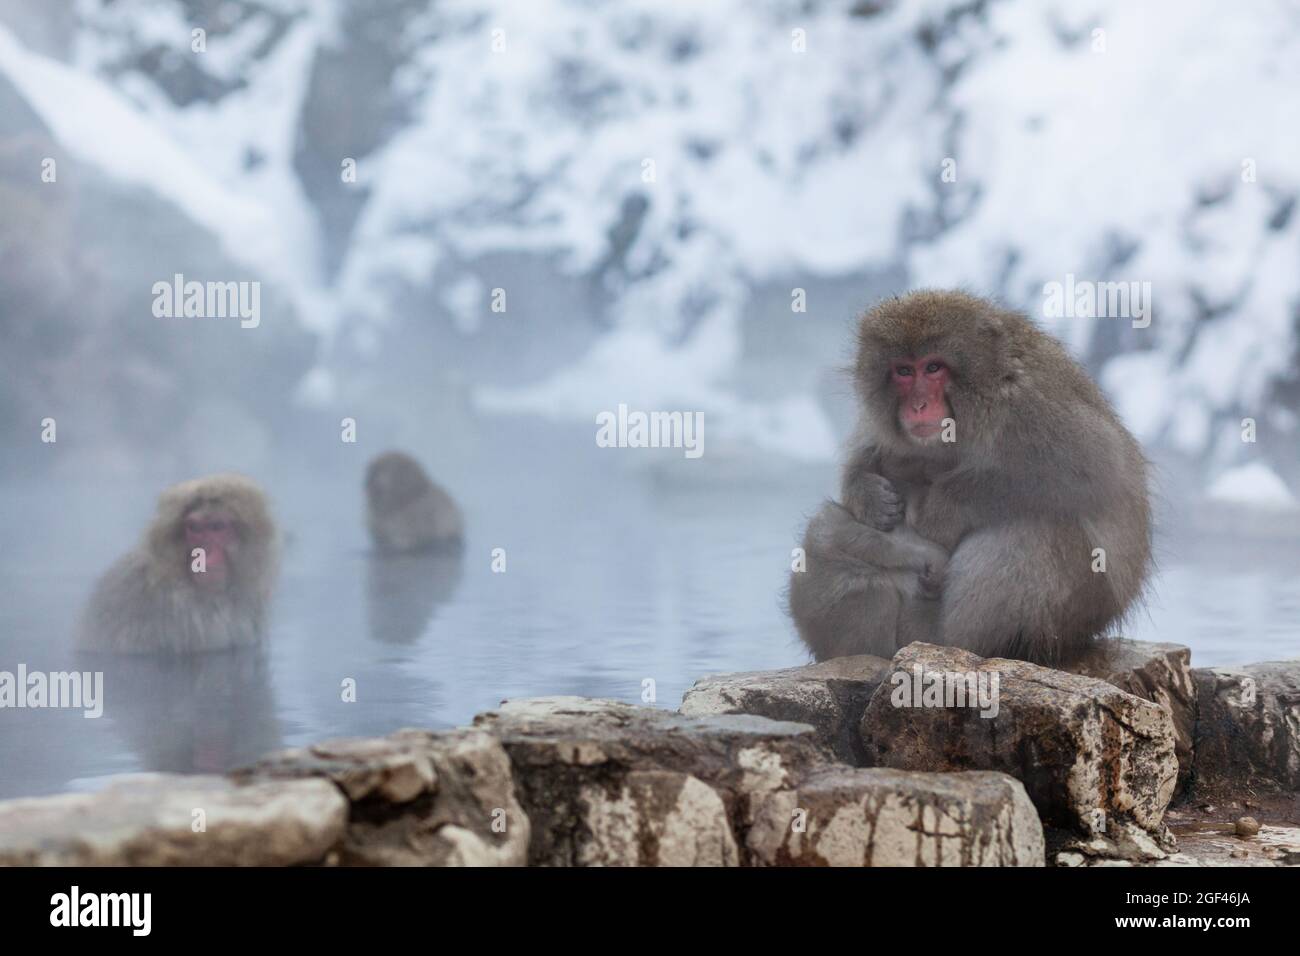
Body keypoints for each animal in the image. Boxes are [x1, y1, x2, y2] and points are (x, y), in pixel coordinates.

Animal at [789, 290, 1151, 666]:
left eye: (933, 367)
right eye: (903, 371)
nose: (918, 405)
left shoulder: (1031, 405)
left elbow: (1095, 467)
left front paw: (940, 511)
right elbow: (868, 452)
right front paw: (869, 495)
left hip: (1061, 621)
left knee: (1032, 525)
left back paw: (950, 641)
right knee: (826, 532)